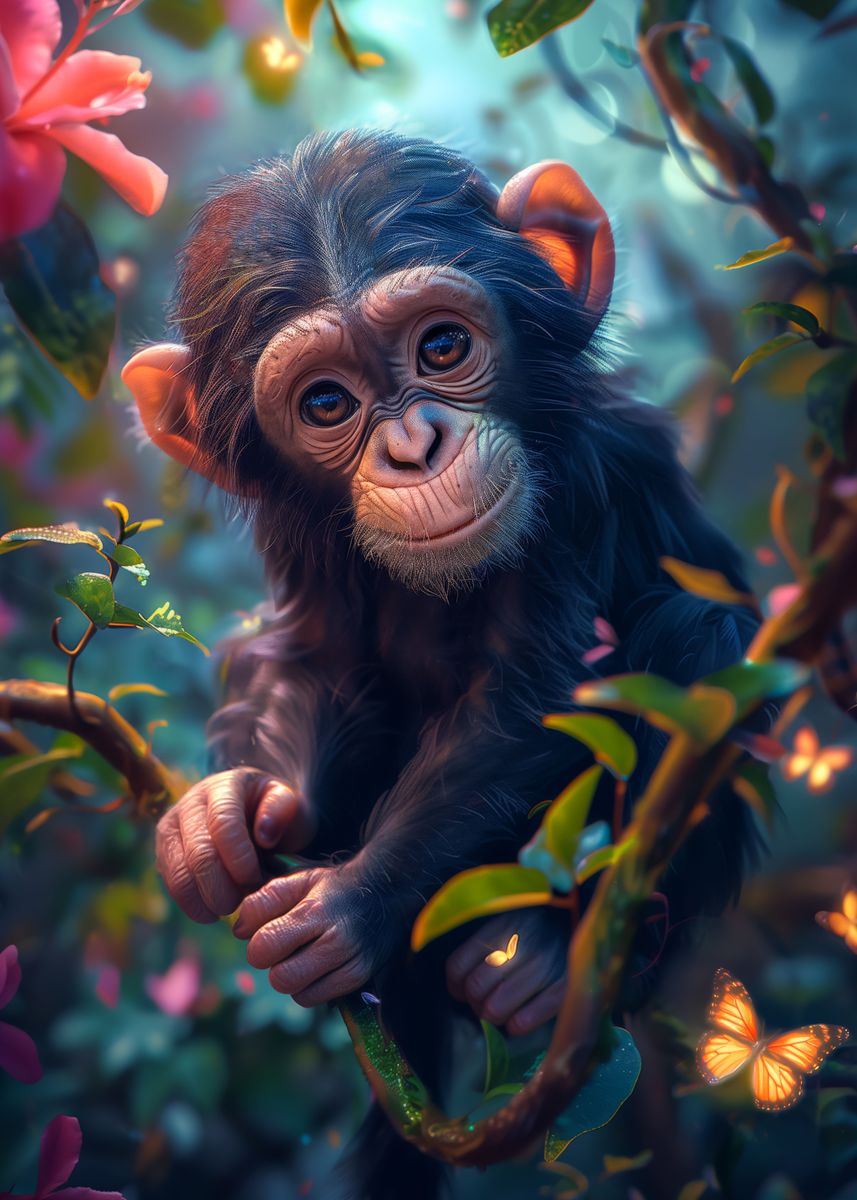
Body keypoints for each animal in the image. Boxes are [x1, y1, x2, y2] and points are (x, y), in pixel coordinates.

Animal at [123, 129, 762, 1200]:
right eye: (326, 402)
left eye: (443, 349)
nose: (414, 446)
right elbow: (313, 656)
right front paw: (219, 816)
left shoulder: (579, 476)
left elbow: (534, 694)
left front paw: (348, 904)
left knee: (698, 635)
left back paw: (543, 957)